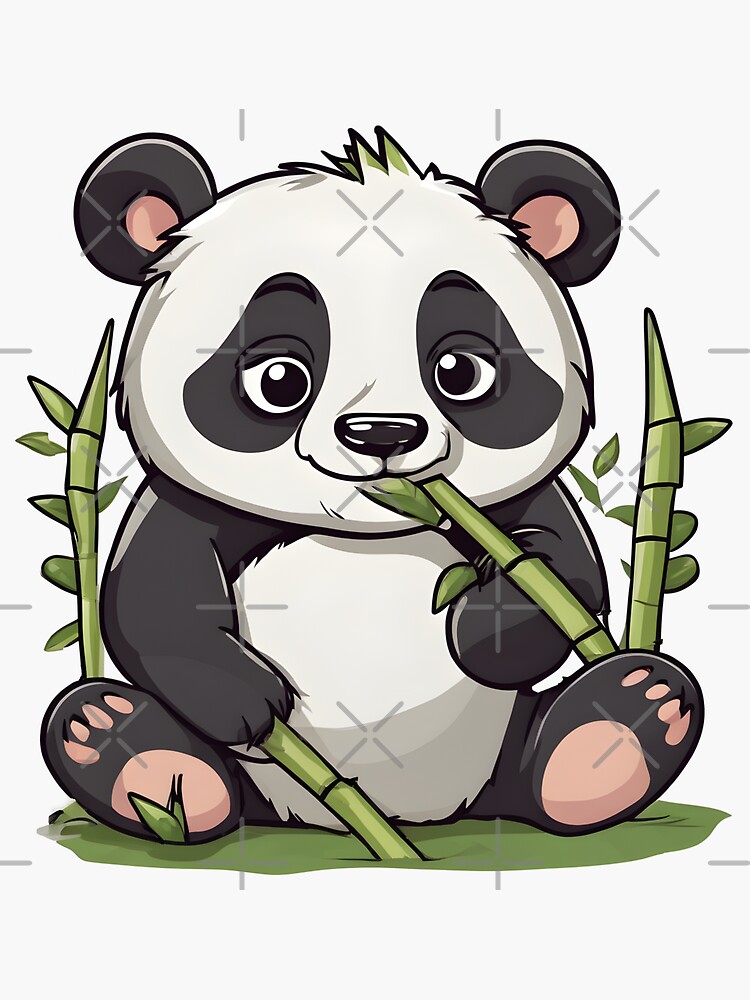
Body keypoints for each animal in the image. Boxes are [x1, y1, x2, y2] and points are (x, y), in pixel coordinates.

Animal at [42, 128, 702, 843]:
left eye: (461, 369)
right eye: (278, 377)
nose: (381, 433)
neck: (365, 531)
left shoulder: (501, 510)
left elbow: (562, 567)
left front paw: (487, 623)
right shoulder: (190, 505)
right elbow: (152, 602)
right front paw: (247, 700)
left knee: (549, 753)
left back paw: (622, 723)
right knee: (149, 747)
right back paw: (124, 747)